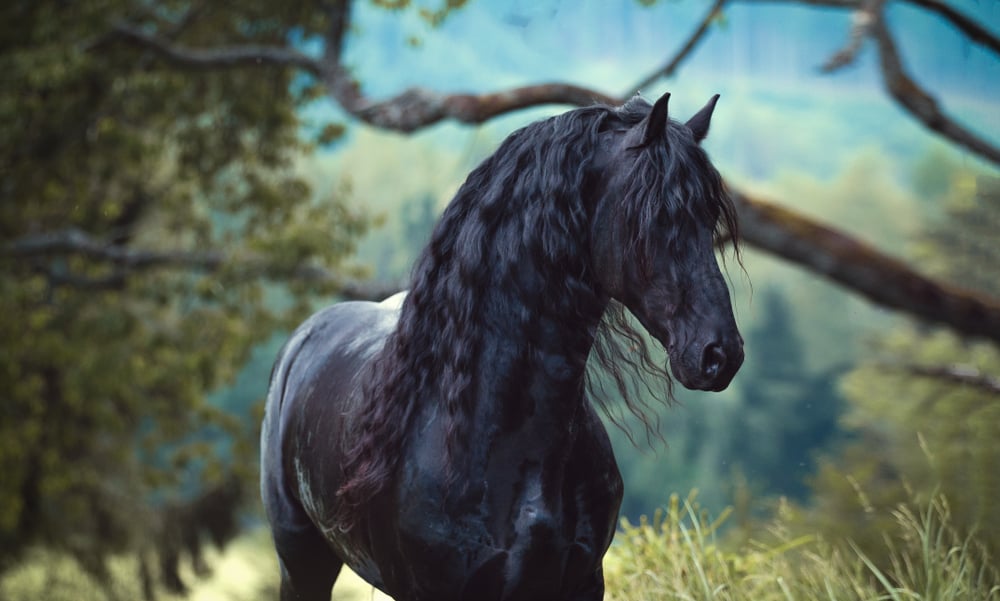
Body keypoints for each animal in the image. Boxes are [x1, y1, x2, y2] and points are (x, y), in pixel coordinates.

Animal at [260, 91, 744, 601]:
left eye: (709, 217)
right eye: (655, 215)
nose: (720, 353)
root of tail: (306, 336)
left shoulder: (582, 583)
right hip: (302, 562)